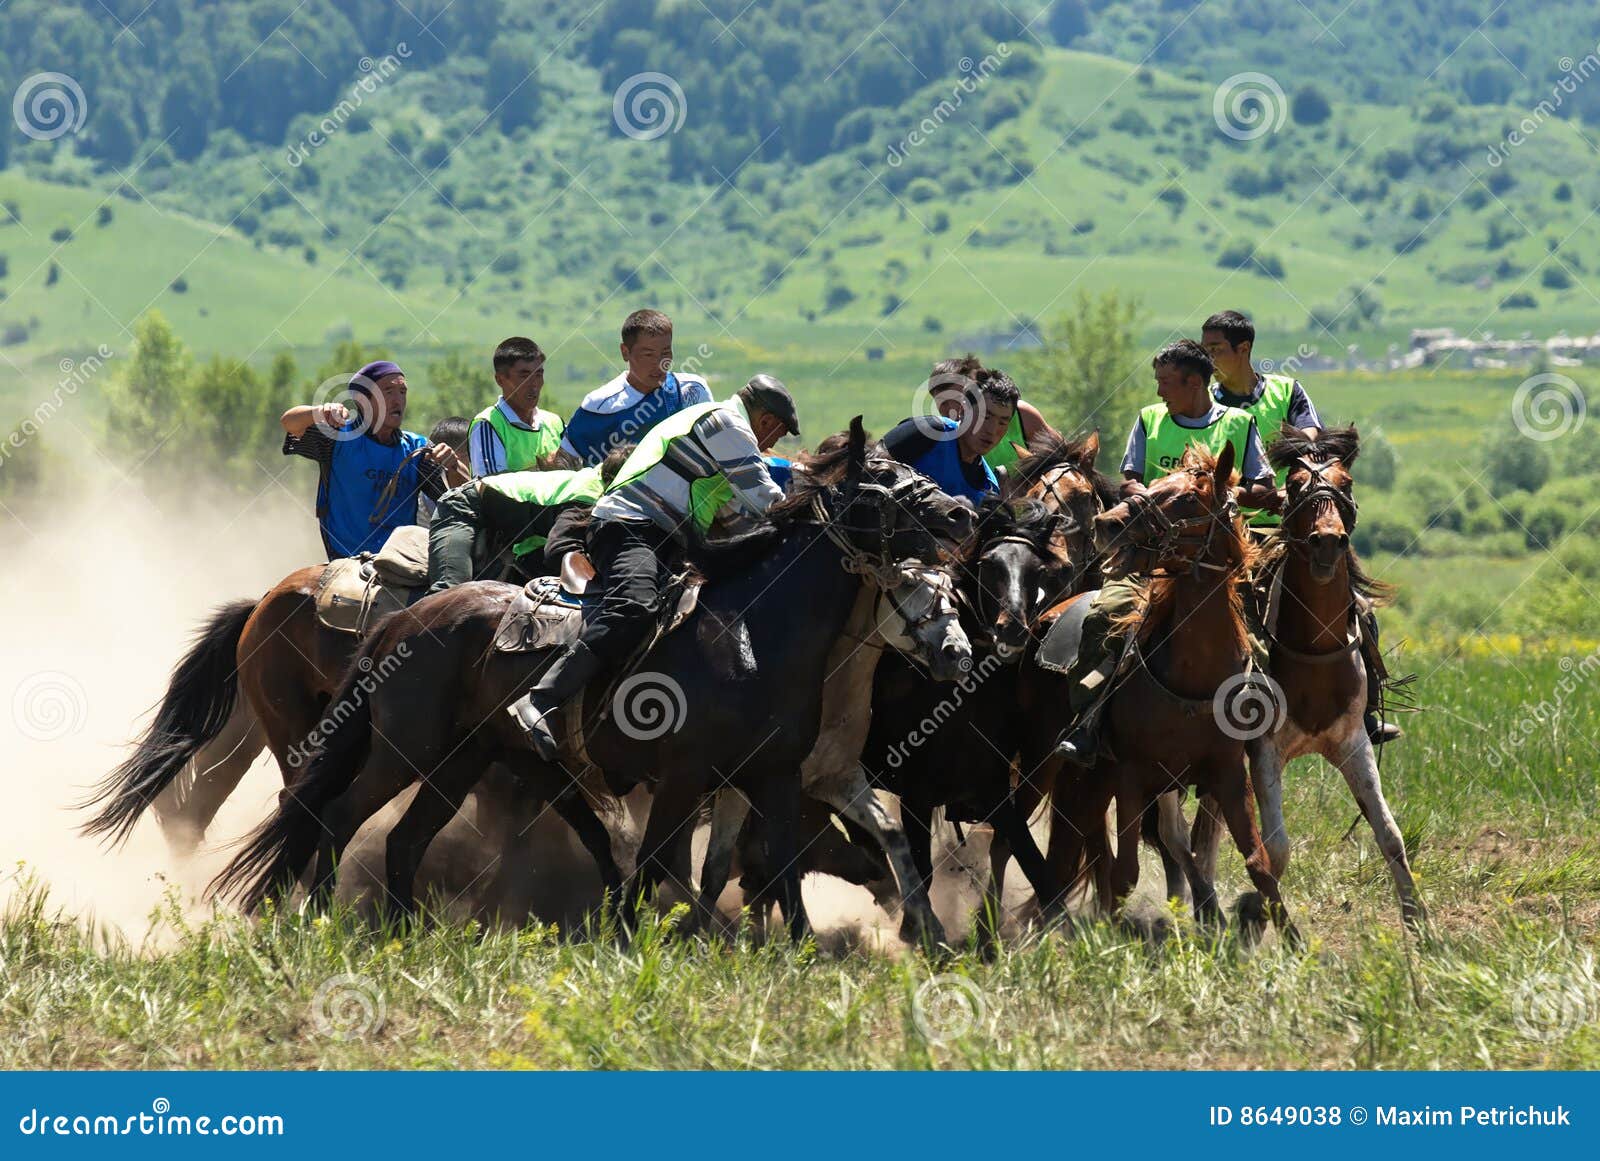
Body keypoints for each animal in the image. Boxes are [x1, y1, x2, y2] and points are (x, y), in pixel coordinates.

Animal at [210, 423, 977, 941]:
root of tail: (405, 620)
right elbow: (663, 865)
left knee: (402, 841)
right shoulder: (685, 778)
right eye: (885, 482)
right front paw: (648, 938)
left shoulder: (775, 779)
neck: (753, 633)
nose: (964, 514)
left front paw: (795, 948)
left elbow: (776, 867)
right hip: (404, 751)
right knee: (335, 816)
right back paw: (321, 919)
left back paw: (401, 931)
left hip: (462, 761)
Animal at [1021, 443, 1302, 946]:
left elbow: (1259, 863)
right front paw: (1113, 938)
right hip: (1044, 763)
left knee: (1074, 844)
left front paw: (1290, 941)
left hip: (1089, 780)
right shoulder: (1134, 777)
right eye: (1153, 486)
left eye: (1189, 498)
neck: (1194, 678)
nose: (1108, 523)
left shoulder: (1229, 776)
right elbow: (1126, 872)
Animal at [1188, 425, 1423, 931]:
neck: (1314, 653)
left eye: (1346, 483)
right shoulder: (1264, 754)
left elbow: (1390, 834)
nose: (1327, 542)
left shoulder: (1354, 744)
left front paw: (1420, 925)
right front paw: (1253, 910)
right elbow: (1275, 848)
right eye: (1295, 486)